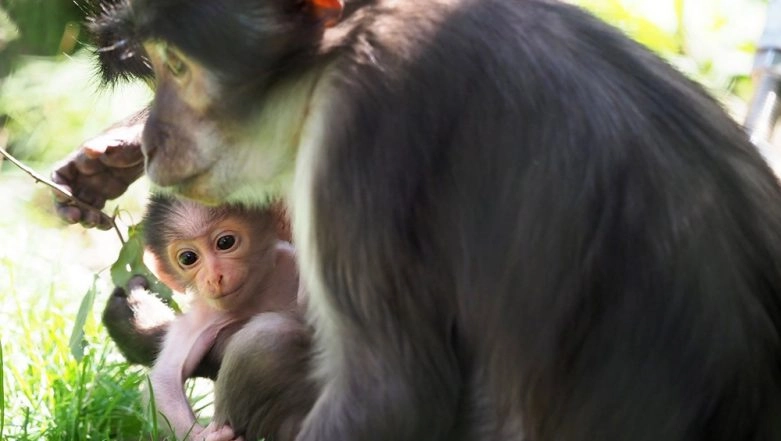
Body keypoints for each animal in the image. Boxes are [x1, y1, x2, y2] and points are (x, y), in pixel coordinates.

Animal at [54, 0, 781, 440]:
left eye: (176, 66)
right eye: (155, 66)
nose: (154, 137)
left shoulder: (360, 134)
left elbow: (389, 393)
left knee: (266, 344)